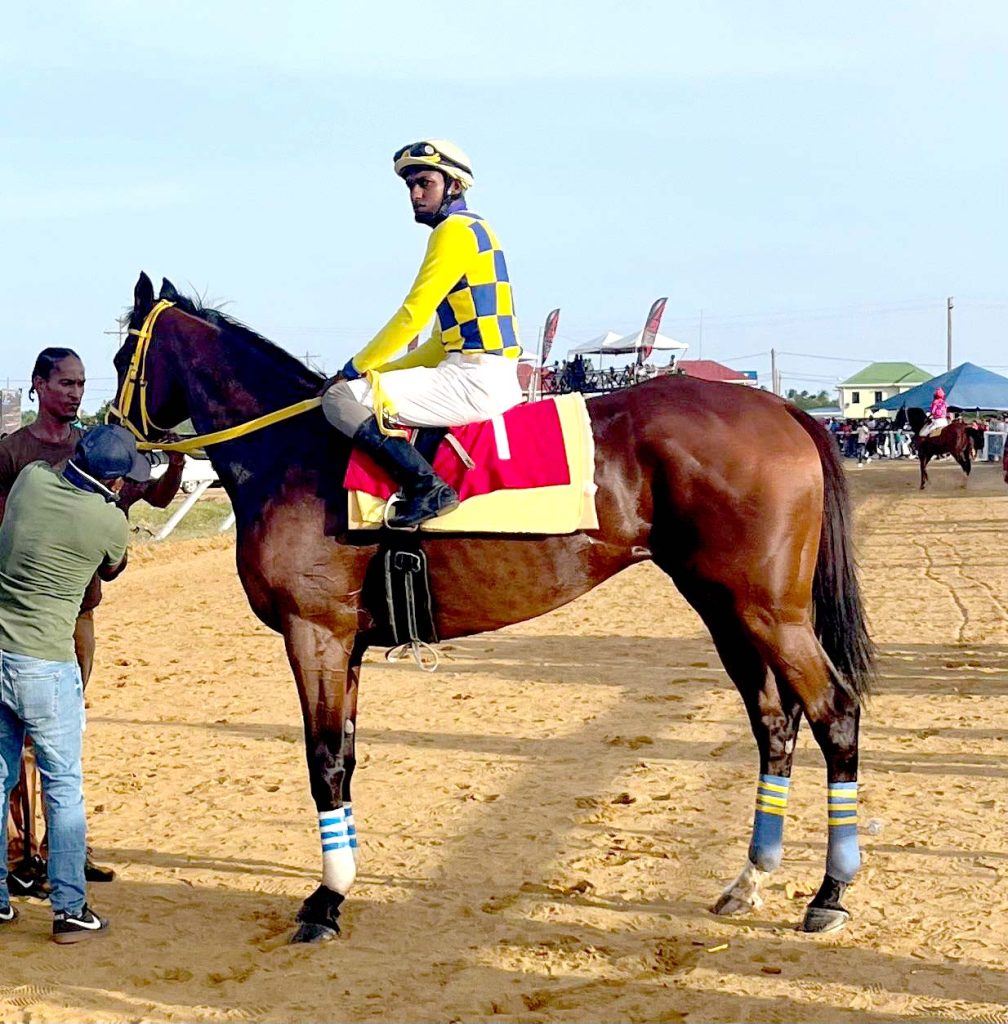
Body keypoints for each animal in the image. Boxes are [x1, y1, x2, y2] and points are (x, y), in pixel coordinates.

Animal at [111, 272, 875, 943]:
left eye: (122, 358)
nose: (117, 449)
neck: (293, 456)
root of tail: (779, 407)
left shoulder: (315, 632)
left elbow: (323, 758)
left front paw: (325, 901)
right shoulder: (345, 643)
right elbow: (347, 758)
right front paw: (342, 884)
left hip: (768, 610)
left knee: (833, 711)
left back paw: (829, 893)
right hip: (723, 607)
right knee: (774, 723)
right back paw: (750, 879)